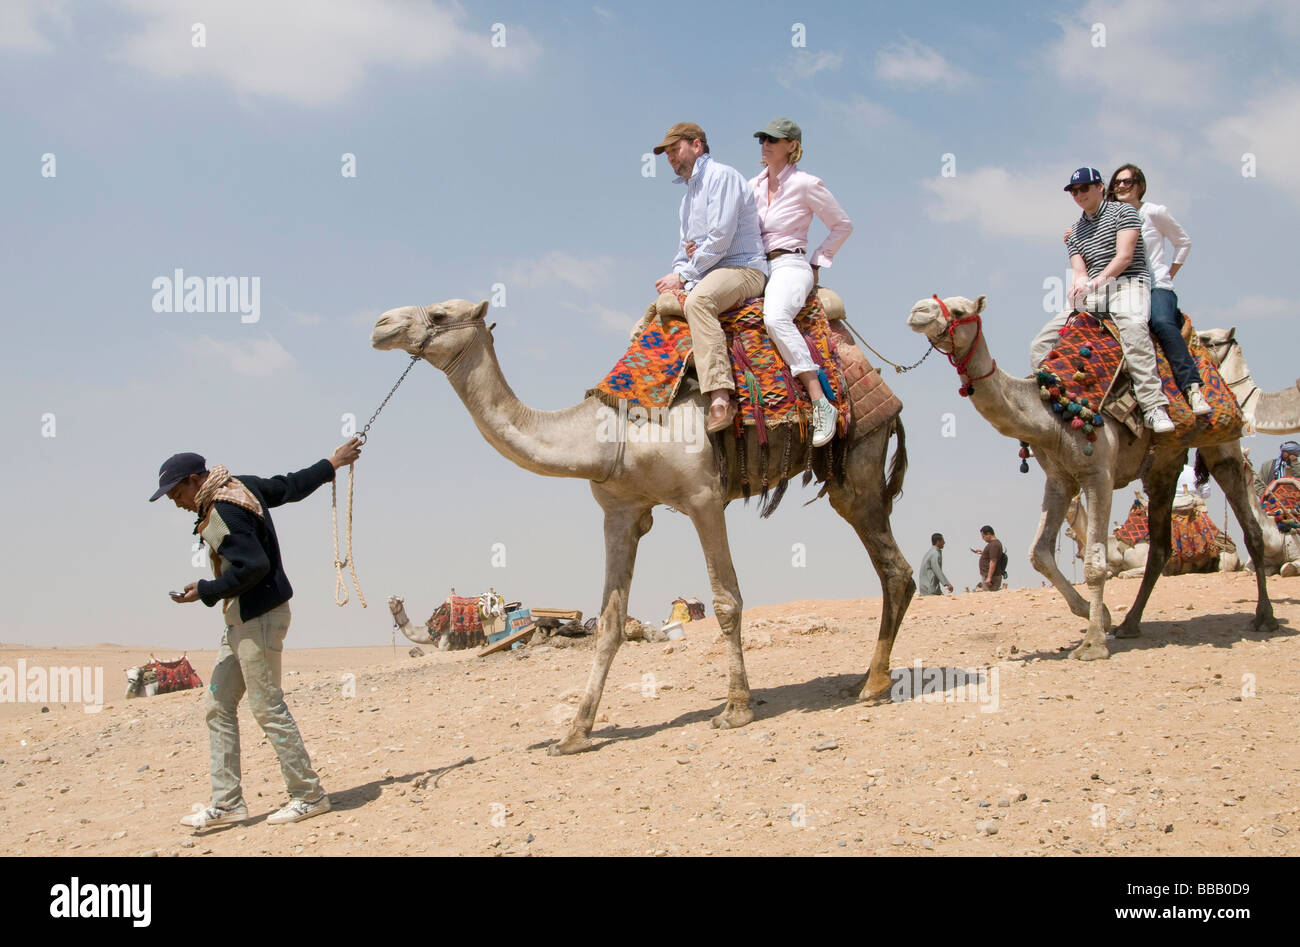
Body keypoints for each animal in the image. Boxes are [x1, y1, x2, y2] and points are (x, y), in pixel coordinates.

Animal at [372, 297, 915, 754]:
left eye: (440, 314)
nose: (381, 324)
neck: (607, 435)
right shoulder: (620, 512)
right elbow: (610, 621)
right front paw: (574, 734)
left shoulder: (703, 497)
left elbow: (726, 601)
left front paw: (736, 710)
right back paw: (867, 679)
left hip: (859, 459)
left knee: (896, 570)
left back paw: (873, 685)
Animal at [907, 295, 1276, 659]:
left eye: (958, 311)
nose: (917, 310)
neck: (1052, 412)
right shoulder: (1059, 479)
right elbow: (1039, 553)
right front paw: (1100, 616)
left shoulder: (1099, 474)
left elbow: (1095, 564)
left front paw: (1093, 642)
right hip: (1163, 465)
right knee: (1160, 546)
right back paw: (1129, 624)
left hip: (1222, 445)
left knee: (1250, 527)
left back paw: (1265, 617)